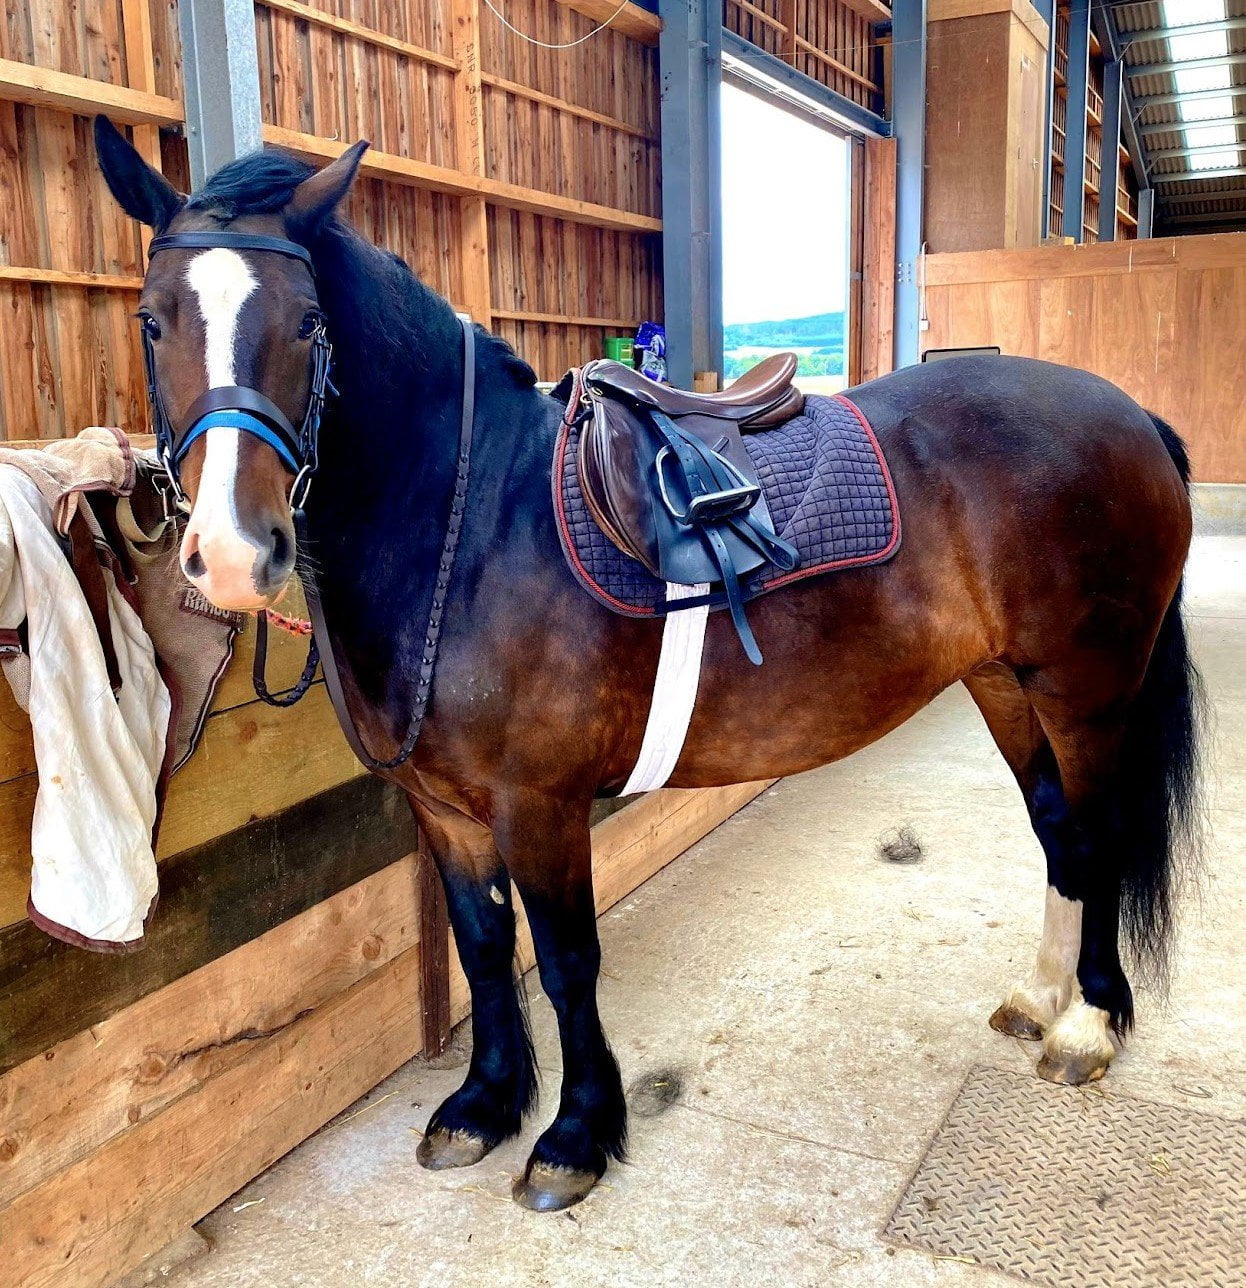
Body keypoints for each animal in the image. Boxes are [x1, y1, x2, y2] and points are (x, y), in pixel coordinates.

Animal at [94, 119, 1201, 1212]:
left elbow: (566, 961)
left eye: (307, 324)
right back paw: (1043, 997)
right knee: (1061, 831)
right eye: (151, 320)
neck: (472, 518)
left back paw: (1089, 1023)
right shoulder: (444, 810)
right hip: (1005, 683)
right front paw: (483, 1103)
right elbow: (482, 947)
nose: (234, 552)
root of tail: (1132, 417)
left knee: (1100, 833)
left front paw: (575, 1133)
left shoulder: (537, 802)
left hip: (1085, 689)